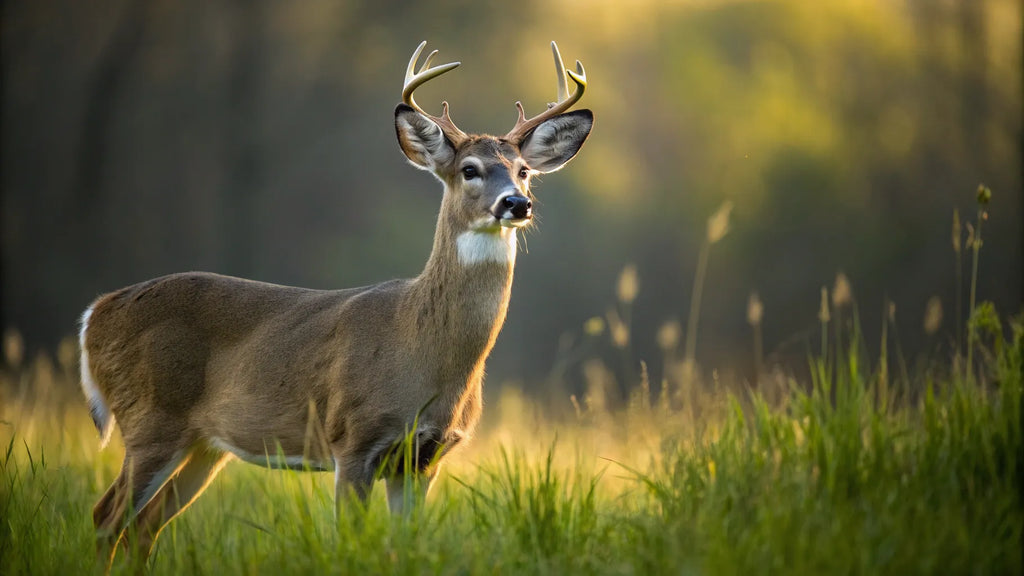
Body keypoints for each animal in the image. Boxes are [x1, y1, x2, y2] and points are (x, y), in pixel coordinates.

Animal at [78, 40, 592, 568]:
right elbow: (348, 539)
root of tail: (95, 314)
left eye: (524, 171)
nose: (517, 203)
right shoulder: (353, 439)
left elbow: (405, 543)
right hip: (149, 418)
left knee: (145, 525)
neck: (424, 352)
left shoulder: (422, 459)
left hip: (204, 444)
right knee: (106, 515)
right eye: (470, 170)